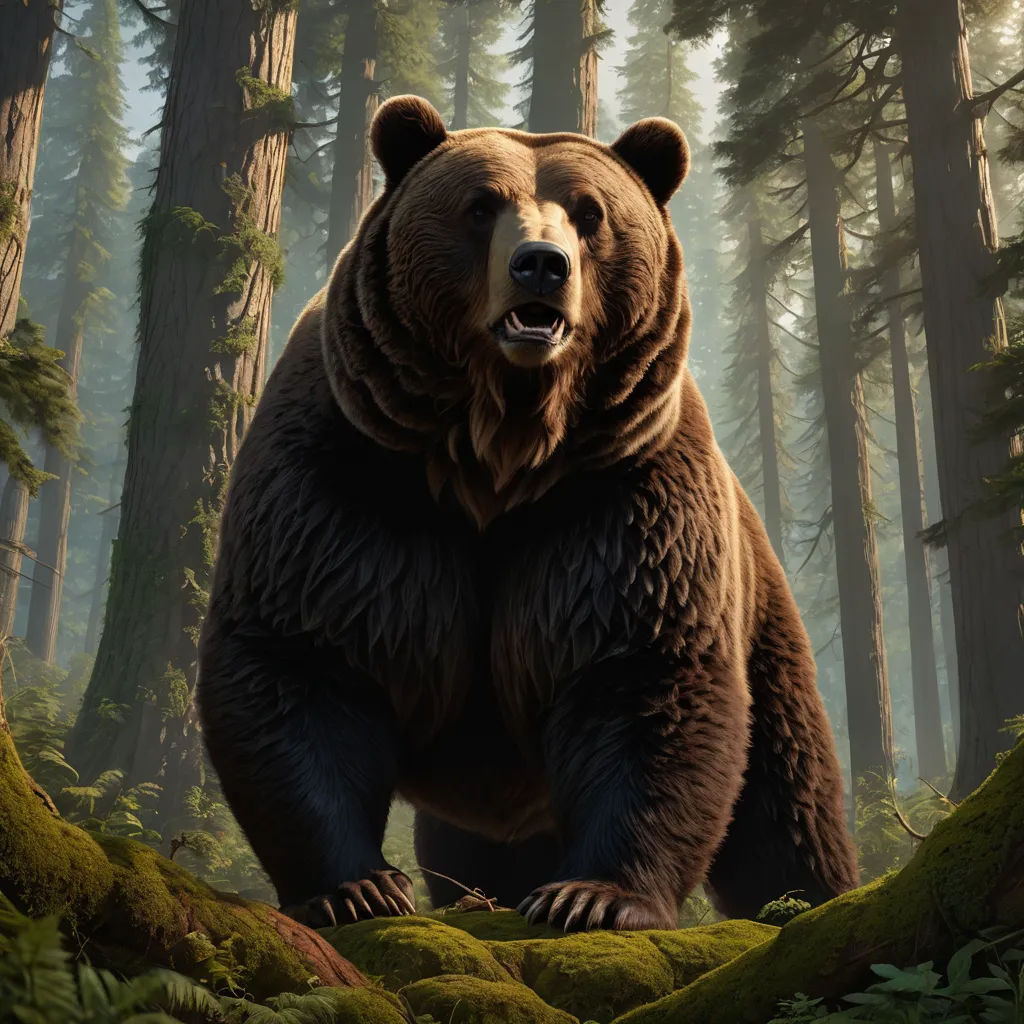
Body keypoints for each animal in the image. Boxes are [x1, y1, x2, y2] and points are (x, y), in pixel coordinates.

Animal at [196, 95, 859, 932]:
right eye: (481, 206)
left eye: (591, 212)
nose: (541, 263)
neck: (498, 454)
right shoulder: (347, 475)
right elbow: (303, 655)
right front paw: (357, 889)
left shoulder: (622, 498)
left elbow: (642, 677)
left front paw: (595, 897)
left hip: (761, 612)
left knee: (785, 790)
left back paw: (802, 901)